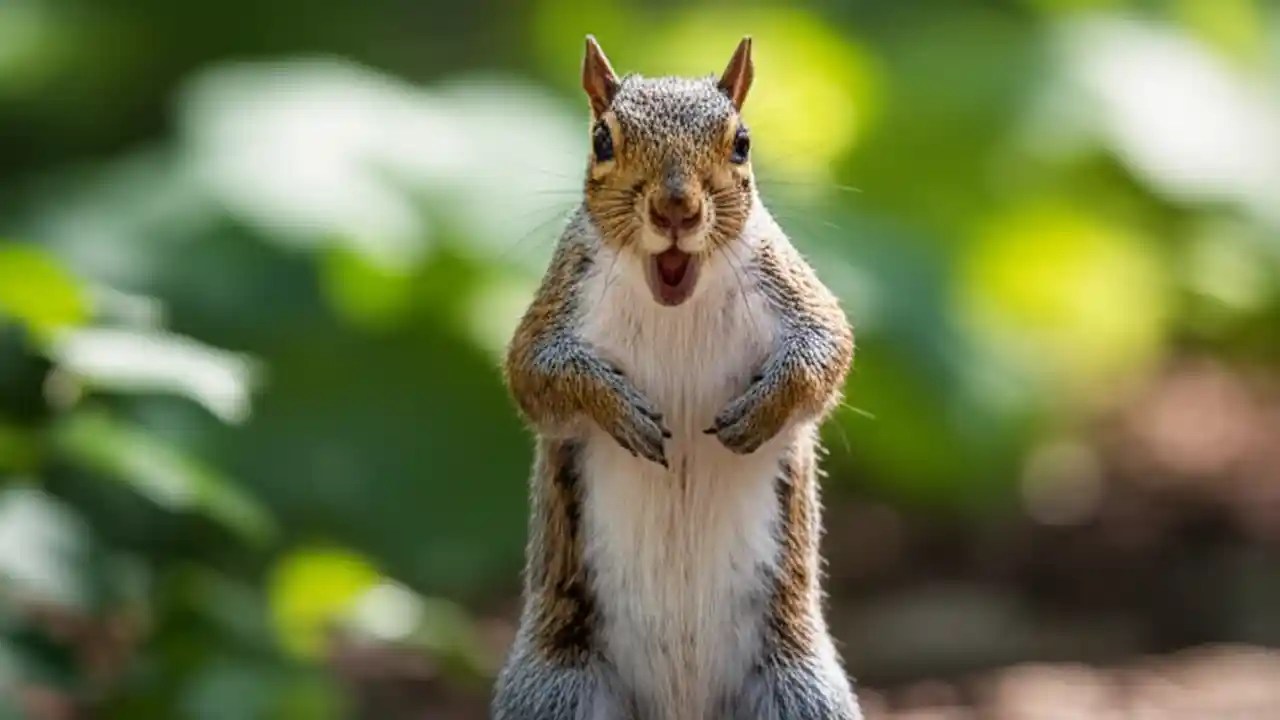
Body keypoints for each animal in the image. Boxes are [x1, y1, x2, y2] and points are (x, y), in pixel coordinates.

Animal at [492, 36, 859, 720]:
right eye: (601, 140)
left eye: (741, 142)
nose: (675, 209)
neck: (674, 297)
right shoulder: (562, 296)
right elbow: (533, 373)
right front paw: (617, 409)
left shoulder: (787, 283)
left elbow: (827, 350)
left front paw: (762, 411)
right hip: (559, 691)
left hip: (799, 692)